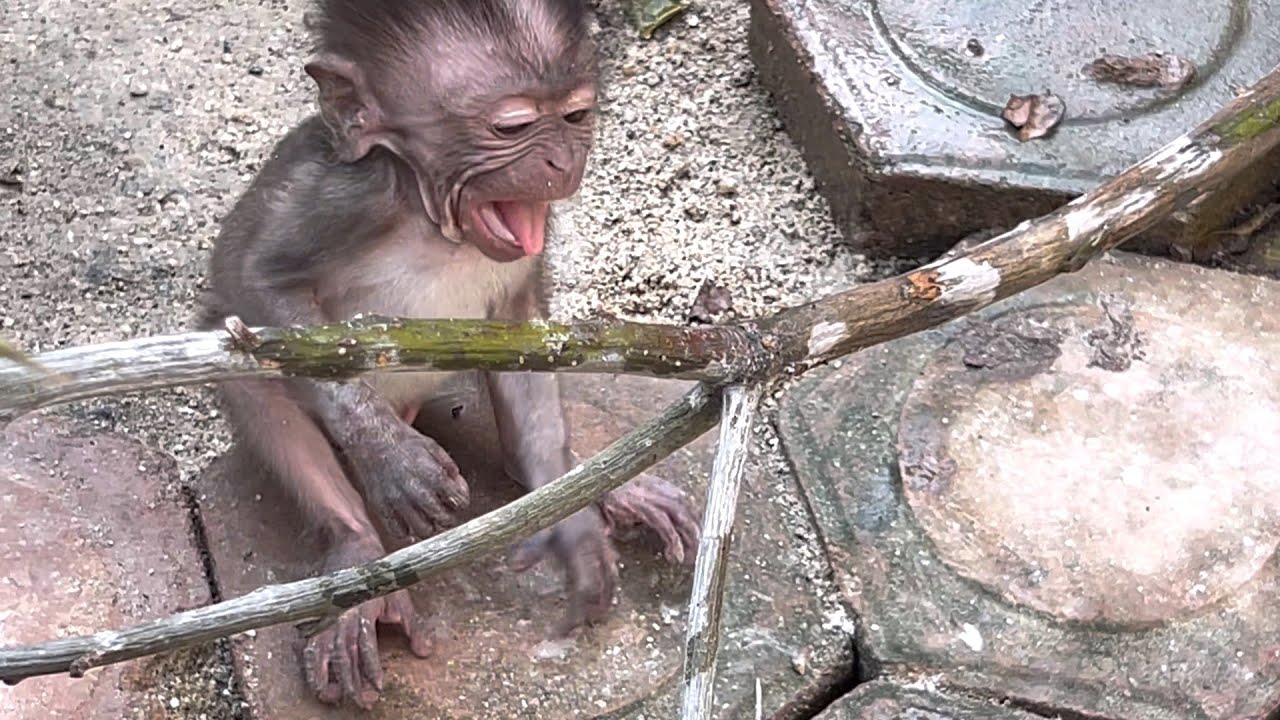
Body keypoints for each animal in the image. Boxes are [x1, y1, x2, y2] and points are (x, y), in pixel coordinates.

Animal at [194, 0, 701, 709]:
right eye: (512, 126)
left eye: (576, 116)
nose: (563, 161)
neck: (434, 219)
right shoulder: (345, 193)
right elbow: (248, 278)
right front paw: (390, 456)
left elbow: (521, 326)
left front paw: (572, 527)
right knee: (249, 374)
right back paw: (355, 550)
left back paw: (590, 486)